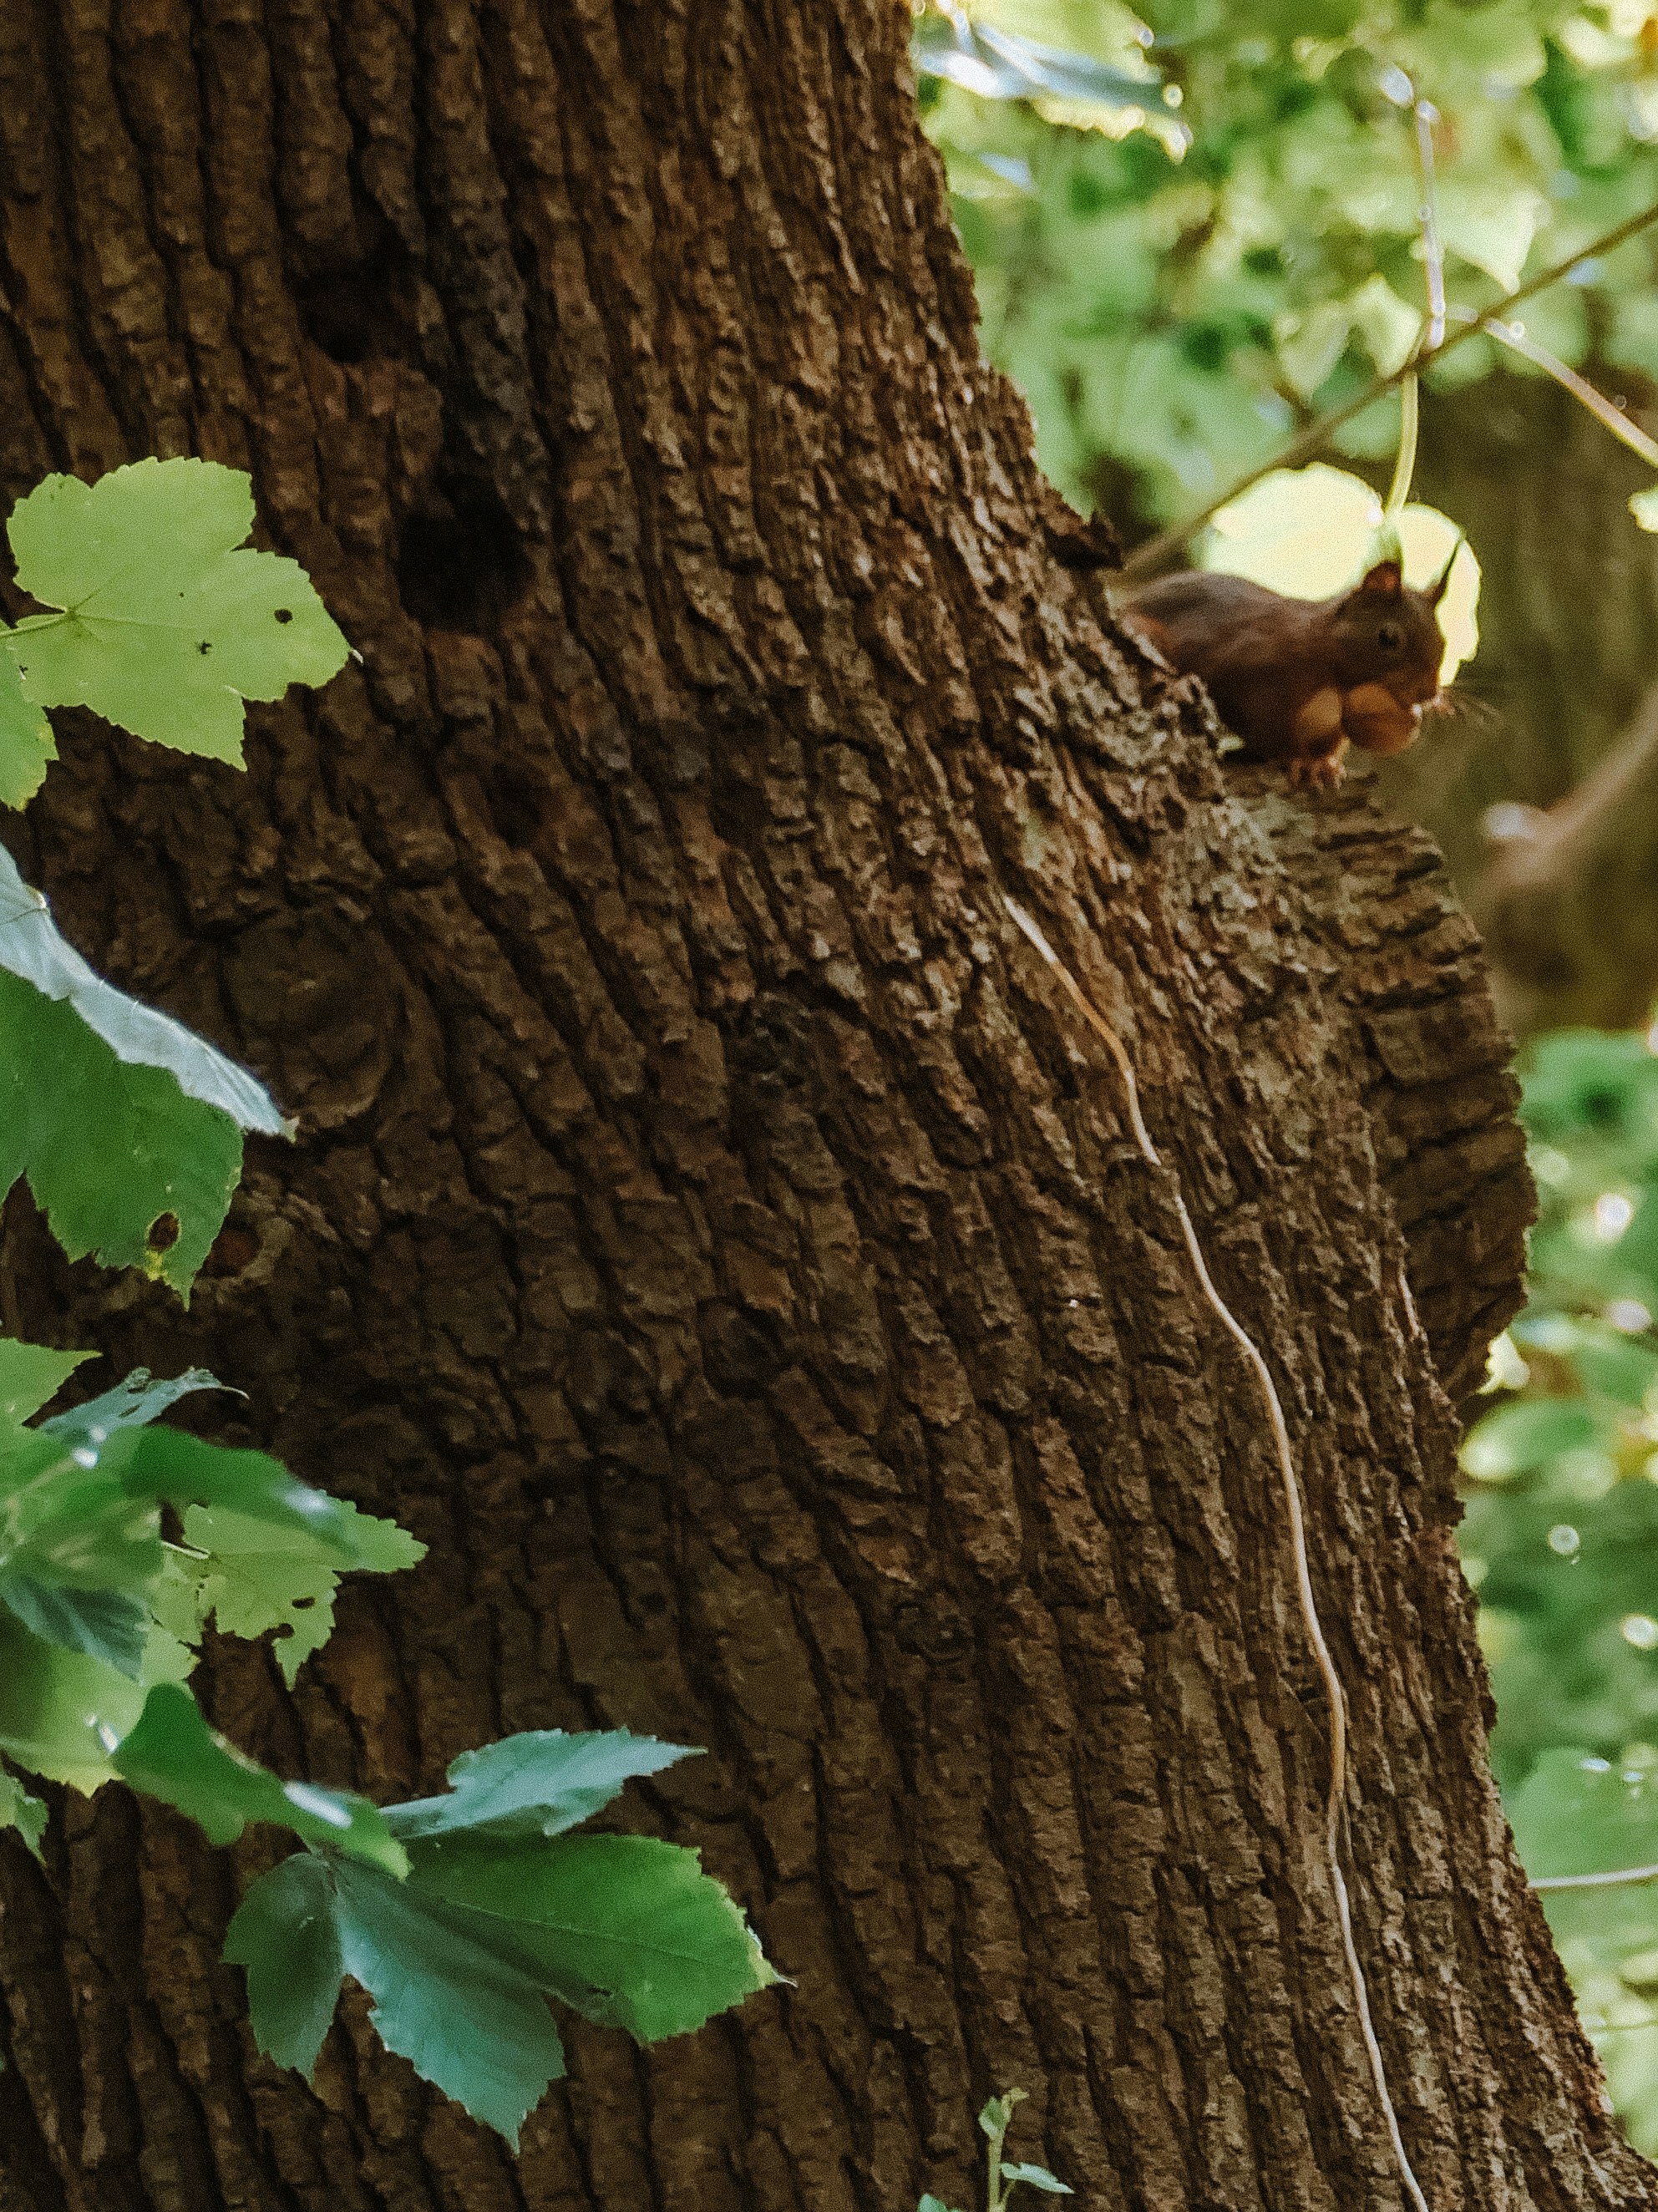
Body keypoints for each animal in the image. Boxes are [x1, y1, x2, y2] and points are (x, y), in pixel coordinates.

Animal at [1121, 555, 1452, 789]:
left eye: (1444, 642)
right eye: (1388, 637)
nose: (1429, 694)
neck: (1338, 685)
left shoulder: (1330, 727)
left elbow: (1331, 745)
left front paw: (1325, 764)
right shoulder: (1252, 677)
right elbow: (1268, 732)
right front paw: (1301, 761)